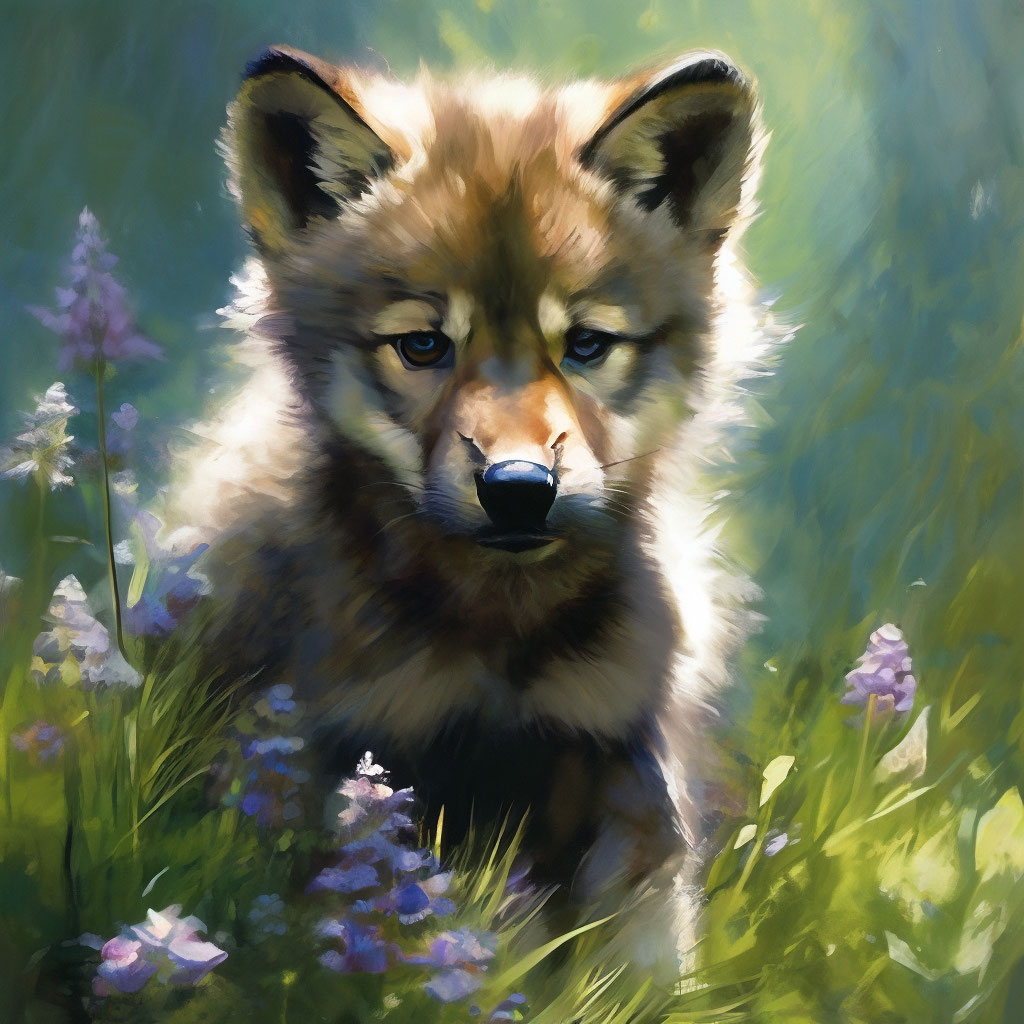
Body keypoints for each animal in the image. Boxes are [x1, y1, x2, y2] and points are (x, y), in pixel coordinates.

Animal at [171, 44, 774, 973]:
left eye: (586, 344)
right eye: (424, 345)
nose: (519, 486)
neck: (501, 643)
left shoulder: (618, 755)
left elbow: (629, 963)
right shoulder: (352, 754)